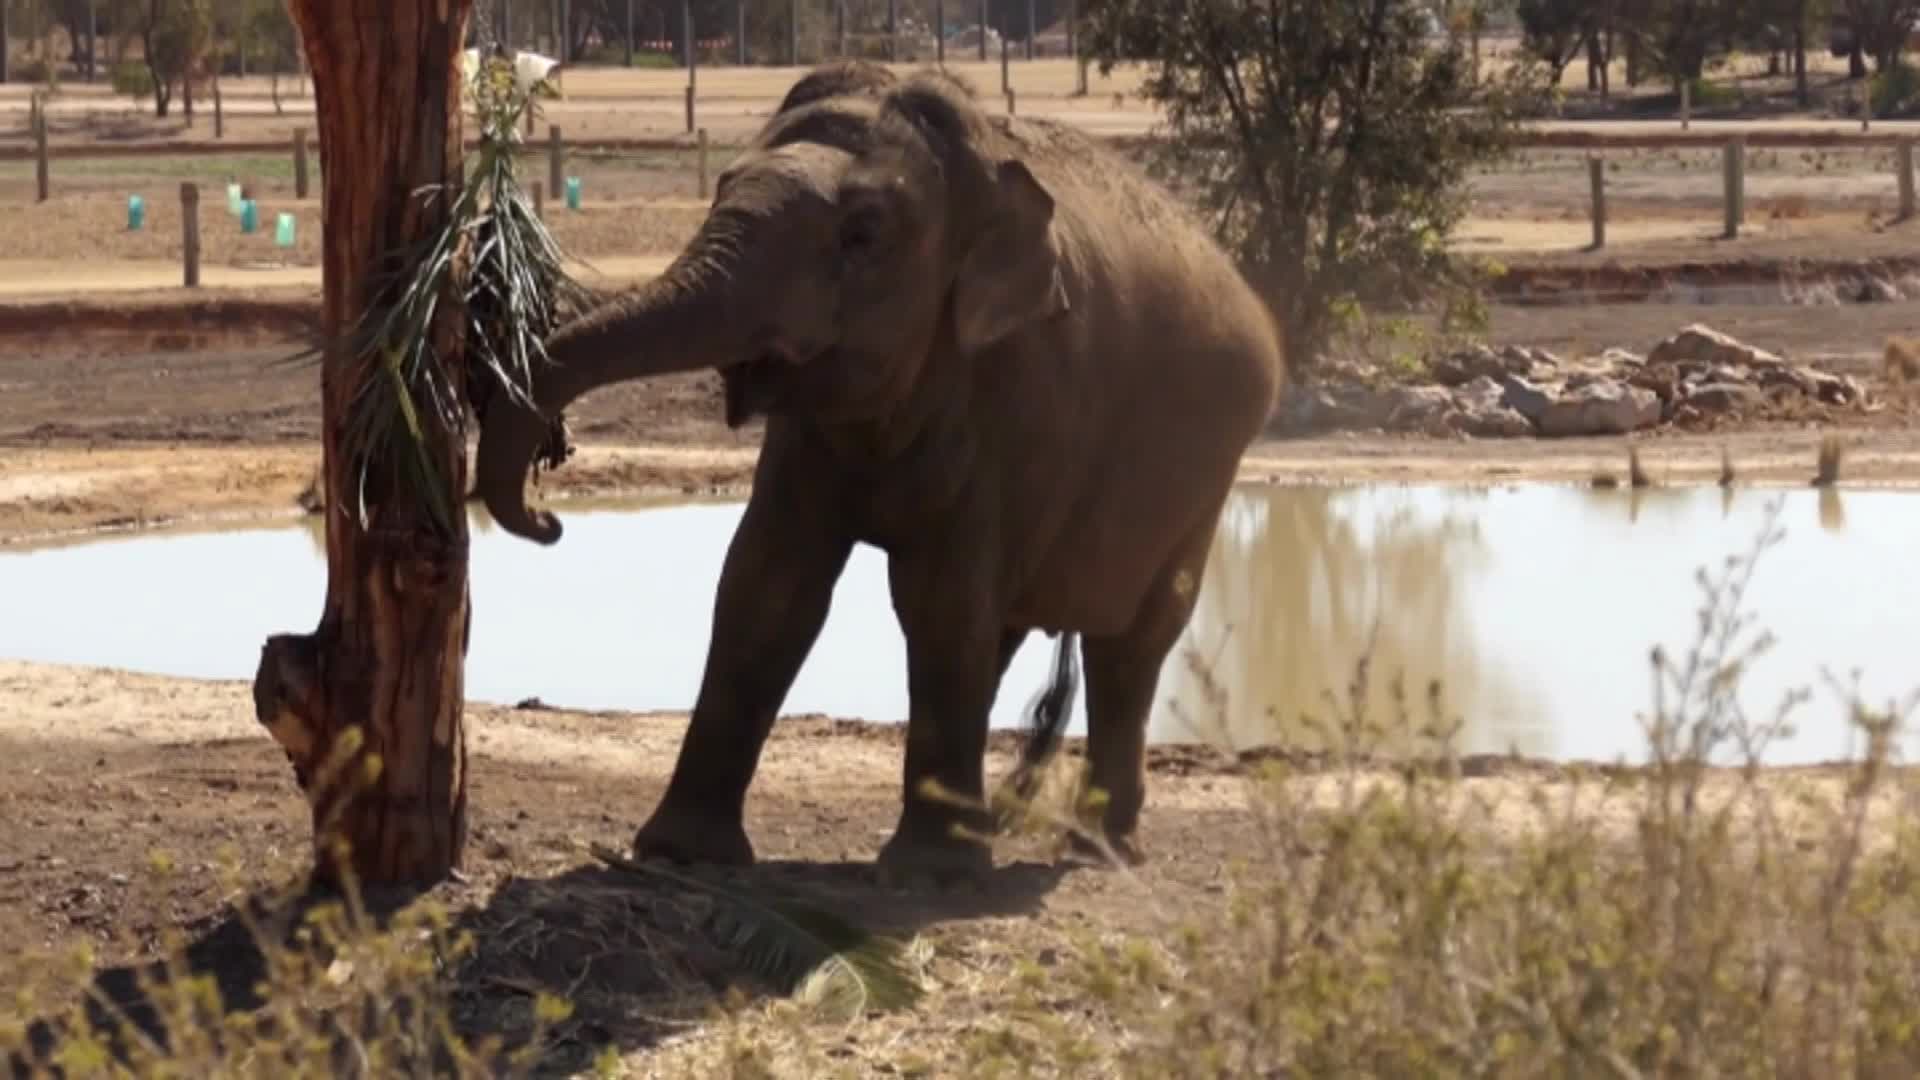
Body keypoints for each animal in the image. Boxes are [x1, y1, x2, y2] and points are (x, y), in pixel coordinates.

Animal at [474, 64, 1285, 881]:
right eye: (721, 187)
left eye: (861, 236)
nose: (547, 519)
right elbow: (767, 581)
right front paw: (682, 853)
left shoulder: (1019, 400)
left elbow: (937, 598)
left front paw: (933, 872)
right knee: (1009, 629)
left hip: (1208, 474)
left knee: (1131, 642)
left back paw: (1096, 851)